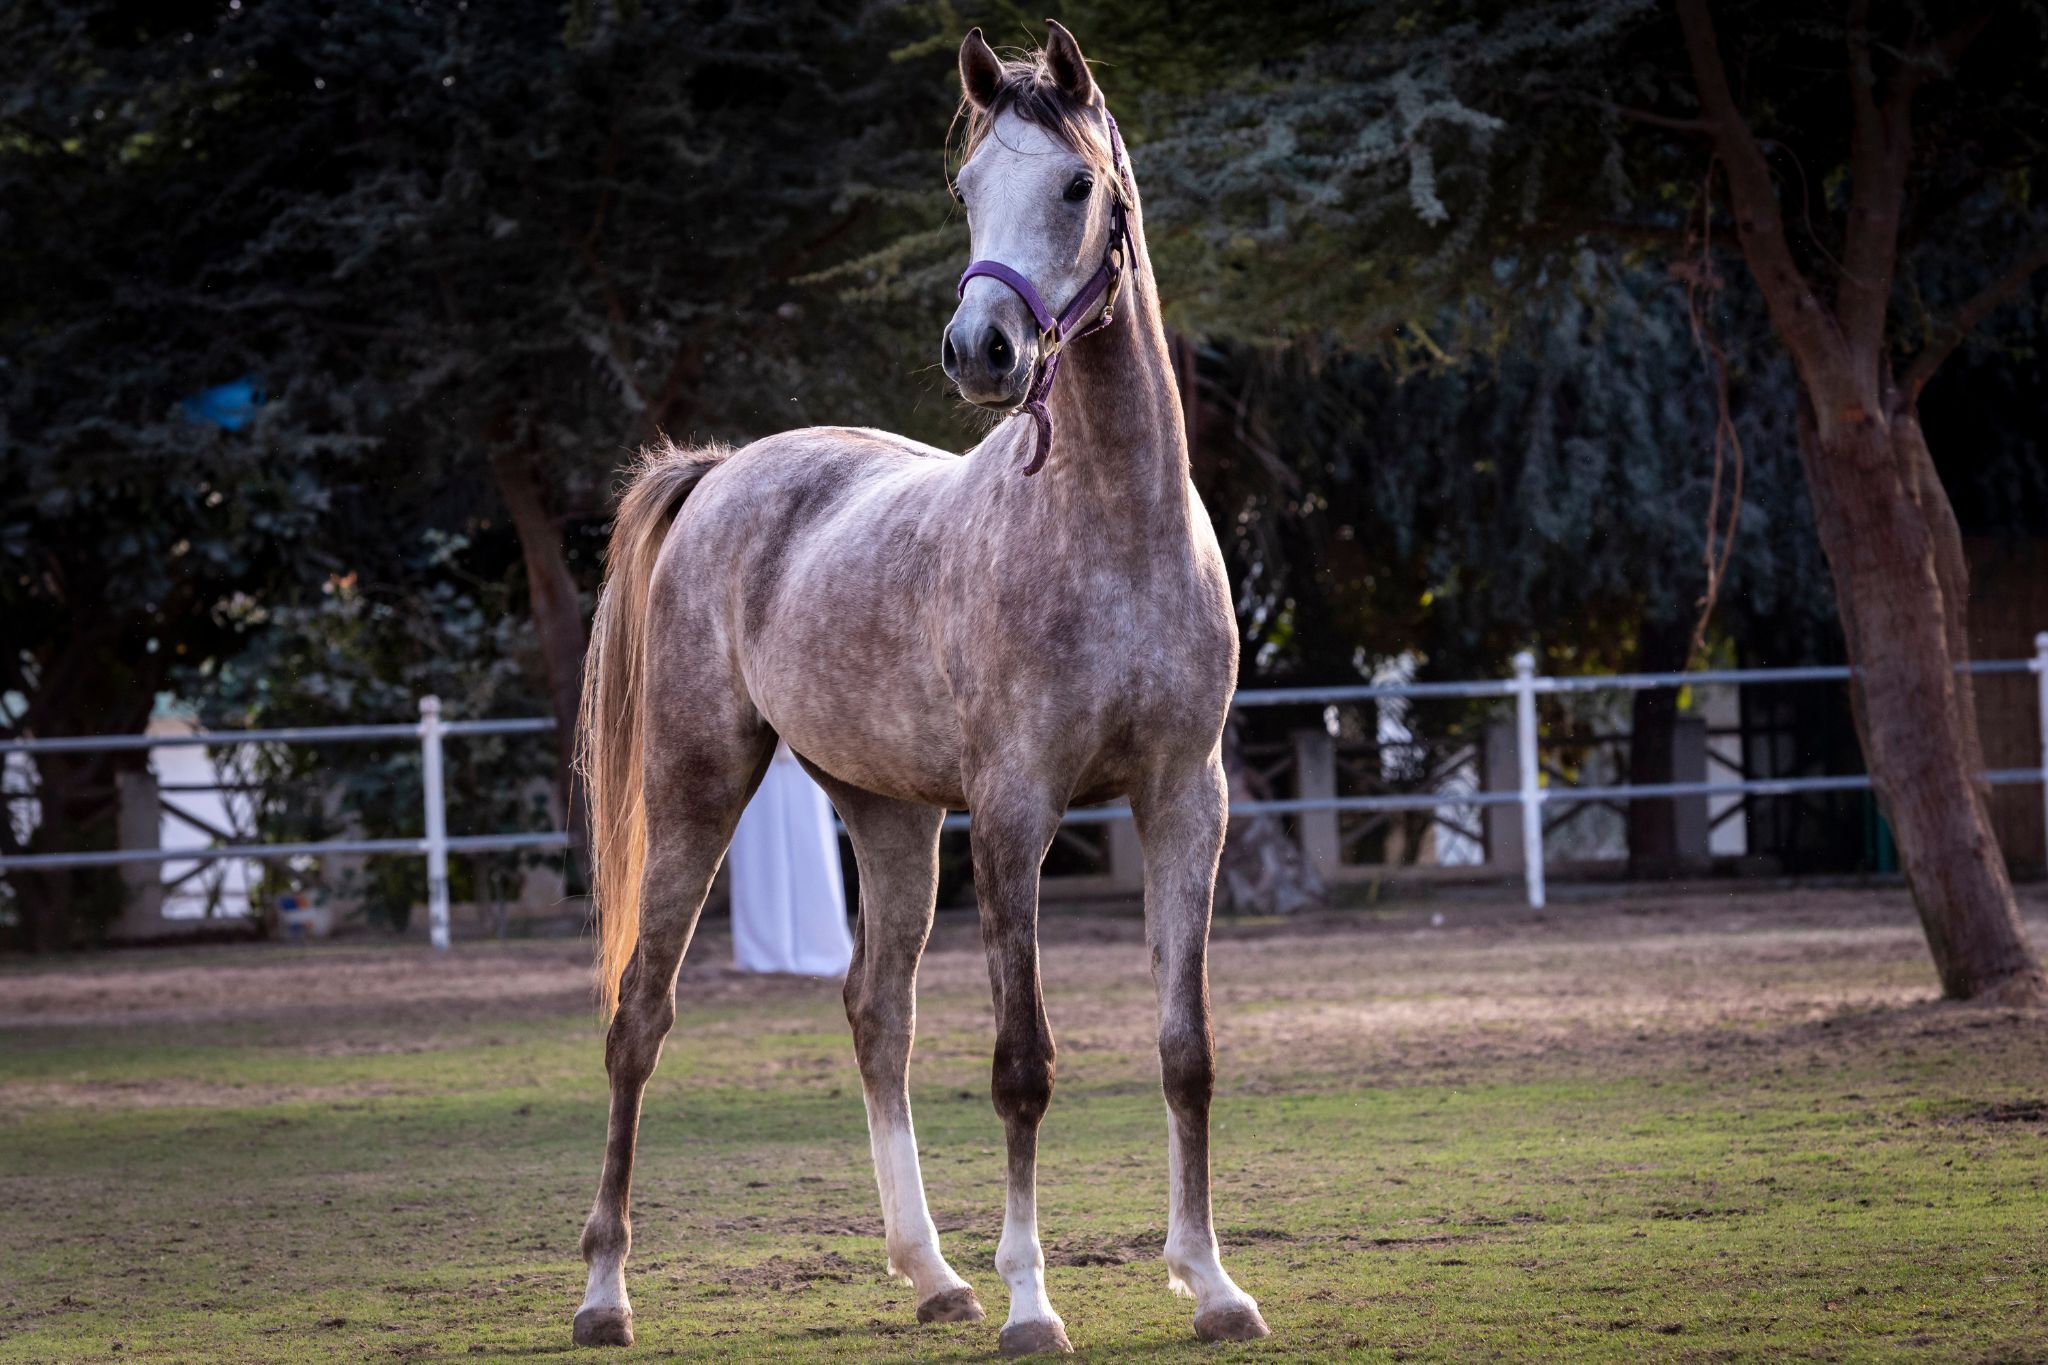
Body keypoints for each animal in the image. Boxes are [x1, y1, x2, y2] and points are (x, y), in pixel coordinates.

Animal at [570, 21, 1270, 1355]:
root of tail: (723, 471)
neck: (1112, 528)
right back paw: (604, 1294)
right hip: (696, 786)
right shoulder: (1011, 816)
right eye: (962, 188)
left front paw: (1209, 1284)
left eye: (1076, 185)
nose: (979, 351)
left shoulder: (1182, 801)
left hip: (888, 818)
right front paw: (1033, 1304)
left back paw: (932, 1272)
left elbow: (1186, 1047)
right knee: (639, 1018)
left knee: (873, 1012)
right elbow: (1021, 1065)